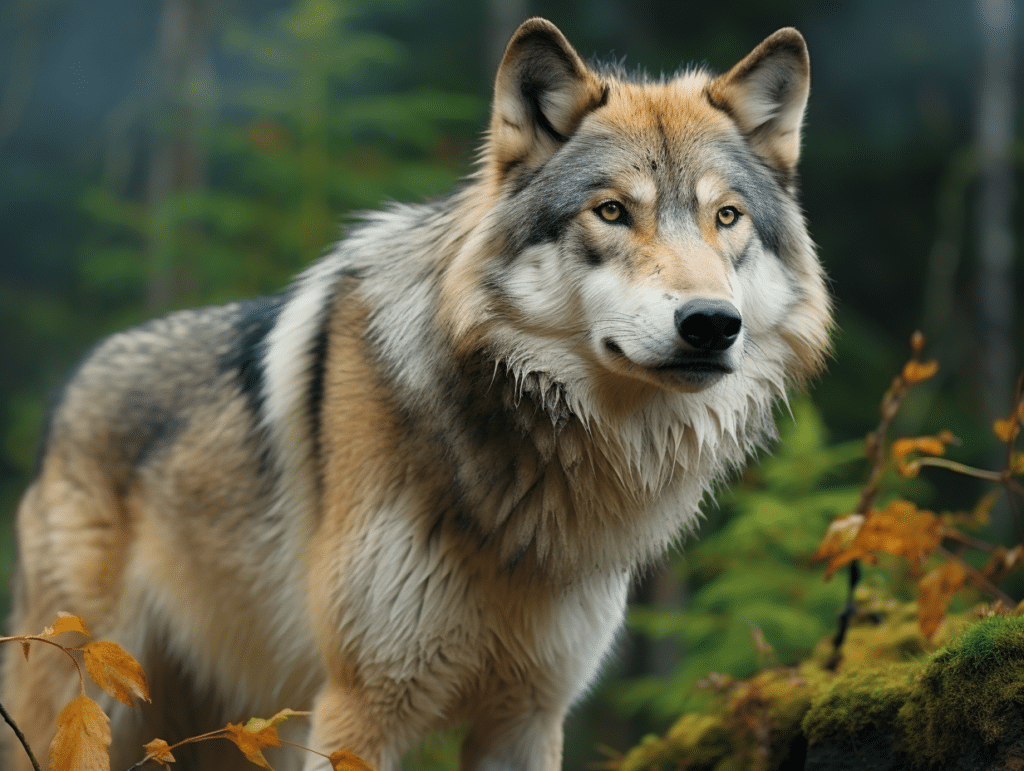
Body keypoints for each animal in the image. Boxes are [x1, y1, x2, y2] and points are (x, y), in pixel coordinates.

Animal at [3, 17, 830, 771]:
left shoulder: (527, 715)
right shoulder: (361, 707)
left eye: (727, 217)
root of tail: (73, 385)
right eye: (612, 211)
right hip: (86, 707)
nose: (711, 324)